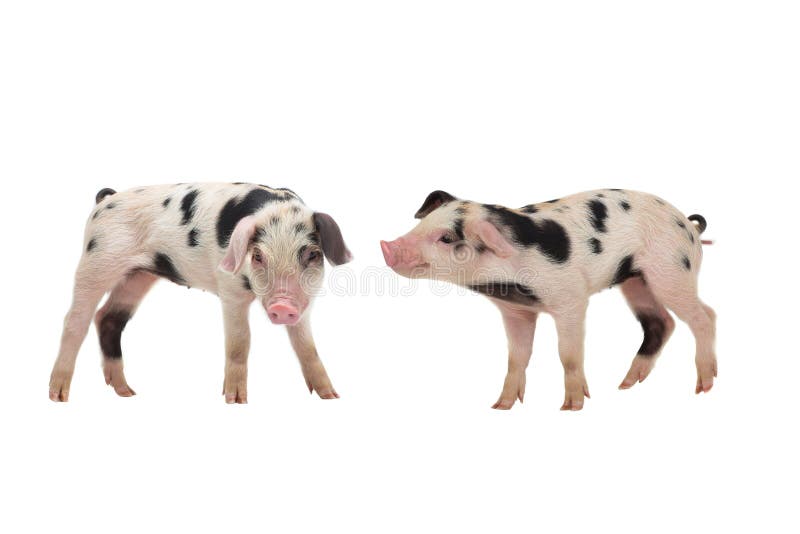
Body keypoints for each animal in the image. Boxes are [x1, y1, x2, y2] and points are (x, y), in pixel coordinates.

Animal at [49, 183, 352, 403]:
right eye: (257, 256)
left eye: (312, 254)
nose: (282, 306)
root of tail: (105, 199)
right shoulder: (230, 289)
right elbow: (240, 342)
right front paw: (236, 400)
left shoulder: (305, 304)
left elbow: (307, 348)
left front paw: (330, 396)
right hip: (96, 261)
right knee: (75, 320)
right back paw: (59, 395)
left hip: (138, 276)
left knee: (108, 318)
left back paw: (126, 392)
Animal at [381, 189, 716, 411]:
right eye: (421, 223)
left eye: (447, 239)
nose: (386, 245)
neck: (504, 282)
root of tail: (688, 225)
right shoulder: (516, 311)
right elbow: (517, 357)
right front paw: (501, 406)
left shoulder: (571, 299)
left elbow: (568, 355)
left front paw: (571, 406)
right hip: (636, 281)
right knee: (662, 322)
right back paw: (625, 384)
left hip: (671, 271)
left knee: (705, 315)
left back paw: (704, 386)